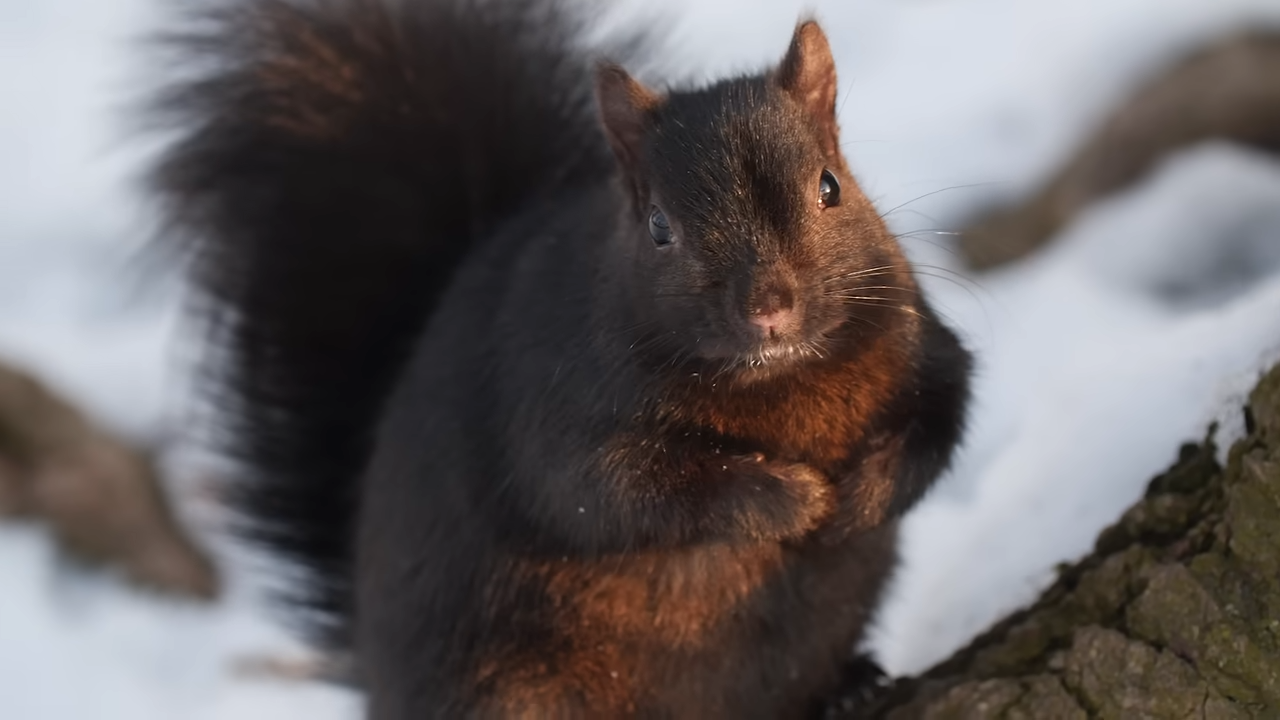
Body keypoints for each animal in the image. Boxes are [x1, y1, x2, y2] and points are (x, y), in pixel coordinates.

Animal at [151, 0, 971, 717]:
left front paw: (867, 491)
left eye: (831, 187)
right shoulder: (555, 403)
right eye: (659, 227)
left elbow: (942, 413)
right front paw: (785, 498)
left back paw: (848, 686)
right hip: (511, 689)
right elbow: (614, 489)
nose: (769, 307)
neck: (776, 383)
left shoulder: (915, 338)